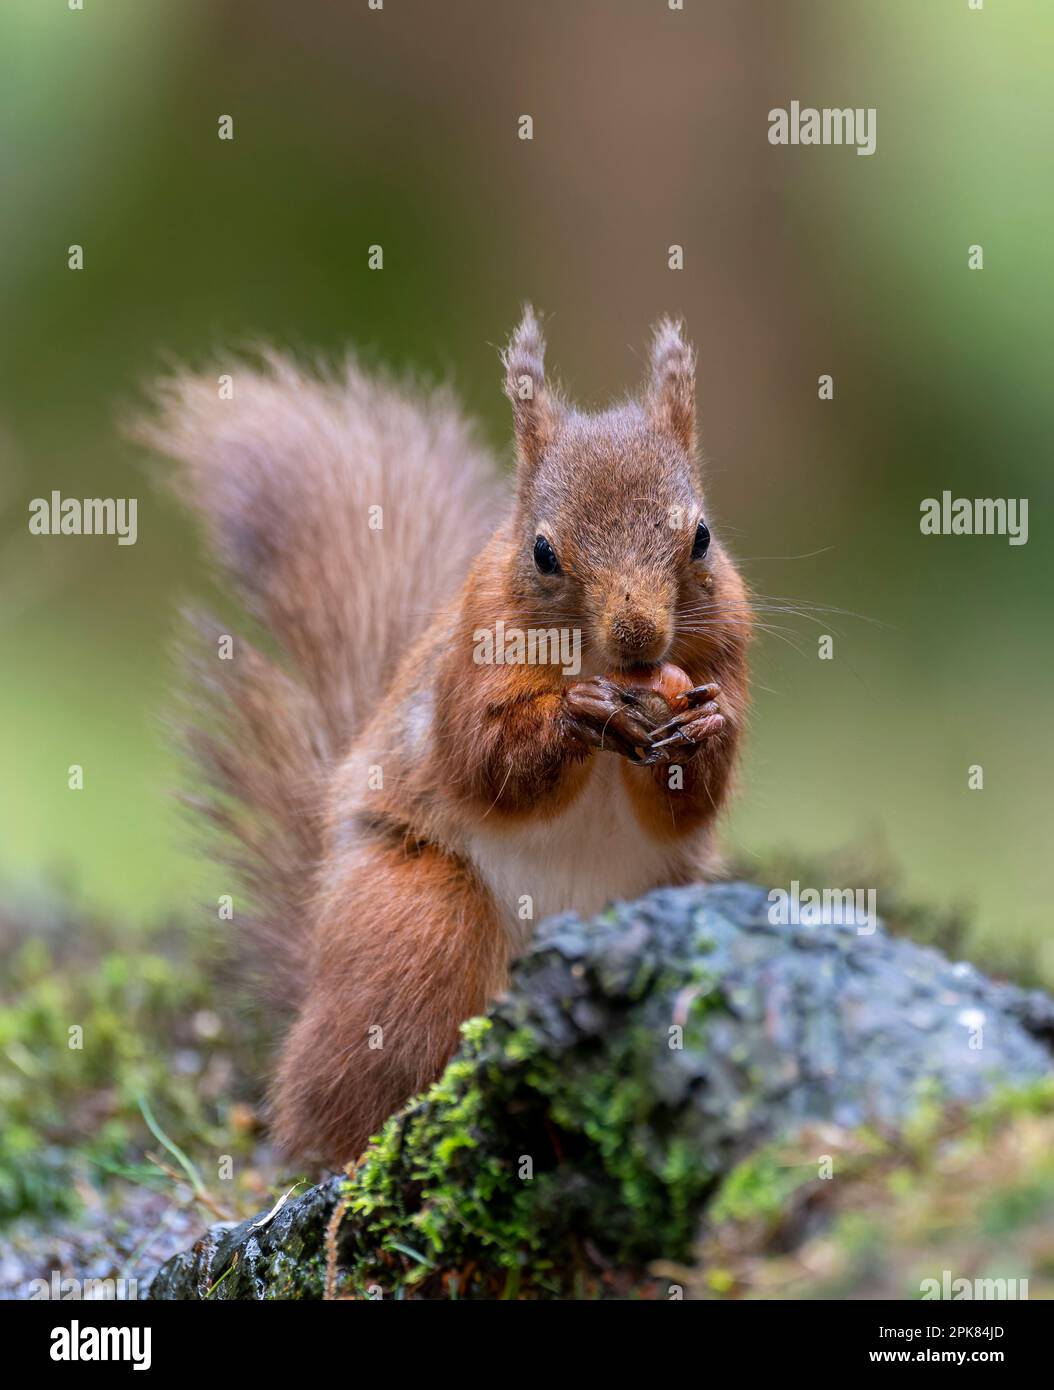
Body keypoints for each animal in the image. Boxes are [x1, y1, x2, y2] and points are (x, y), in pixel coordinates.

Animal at [139, 308, 752, 1167]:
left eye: (701, 538)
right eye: (542, 551)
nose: (638, 639)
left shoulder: (723, 652)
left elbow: (692, 802)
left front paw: (705, 727)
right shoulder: (465, 671)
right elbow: (487, 762)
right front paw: (580, 716)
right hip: (418, 921)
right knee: (345, 1094)